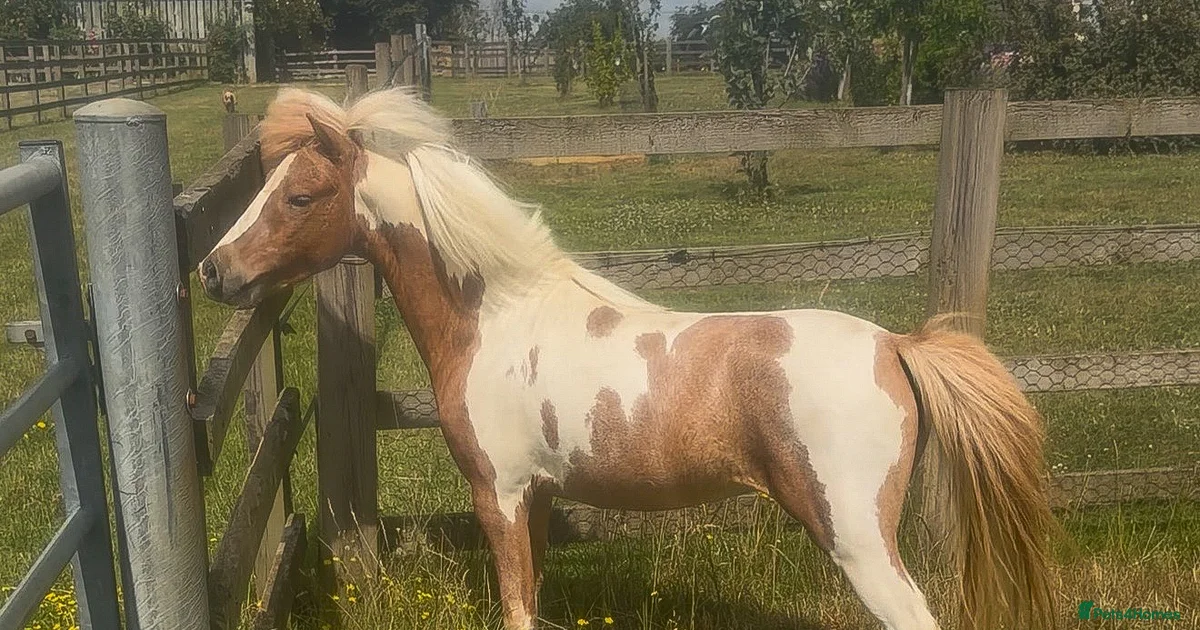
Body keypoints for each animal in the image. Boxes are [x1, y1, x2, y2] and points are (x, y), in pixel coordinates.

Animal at [198, 87, 1056, 630]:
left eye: (300, 196)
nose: (213, 269)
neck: (494, 318)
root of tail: (896, 346)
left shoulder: (498, 494)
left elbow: (516, 609)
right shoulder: (538, 497)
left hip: (858, 538)